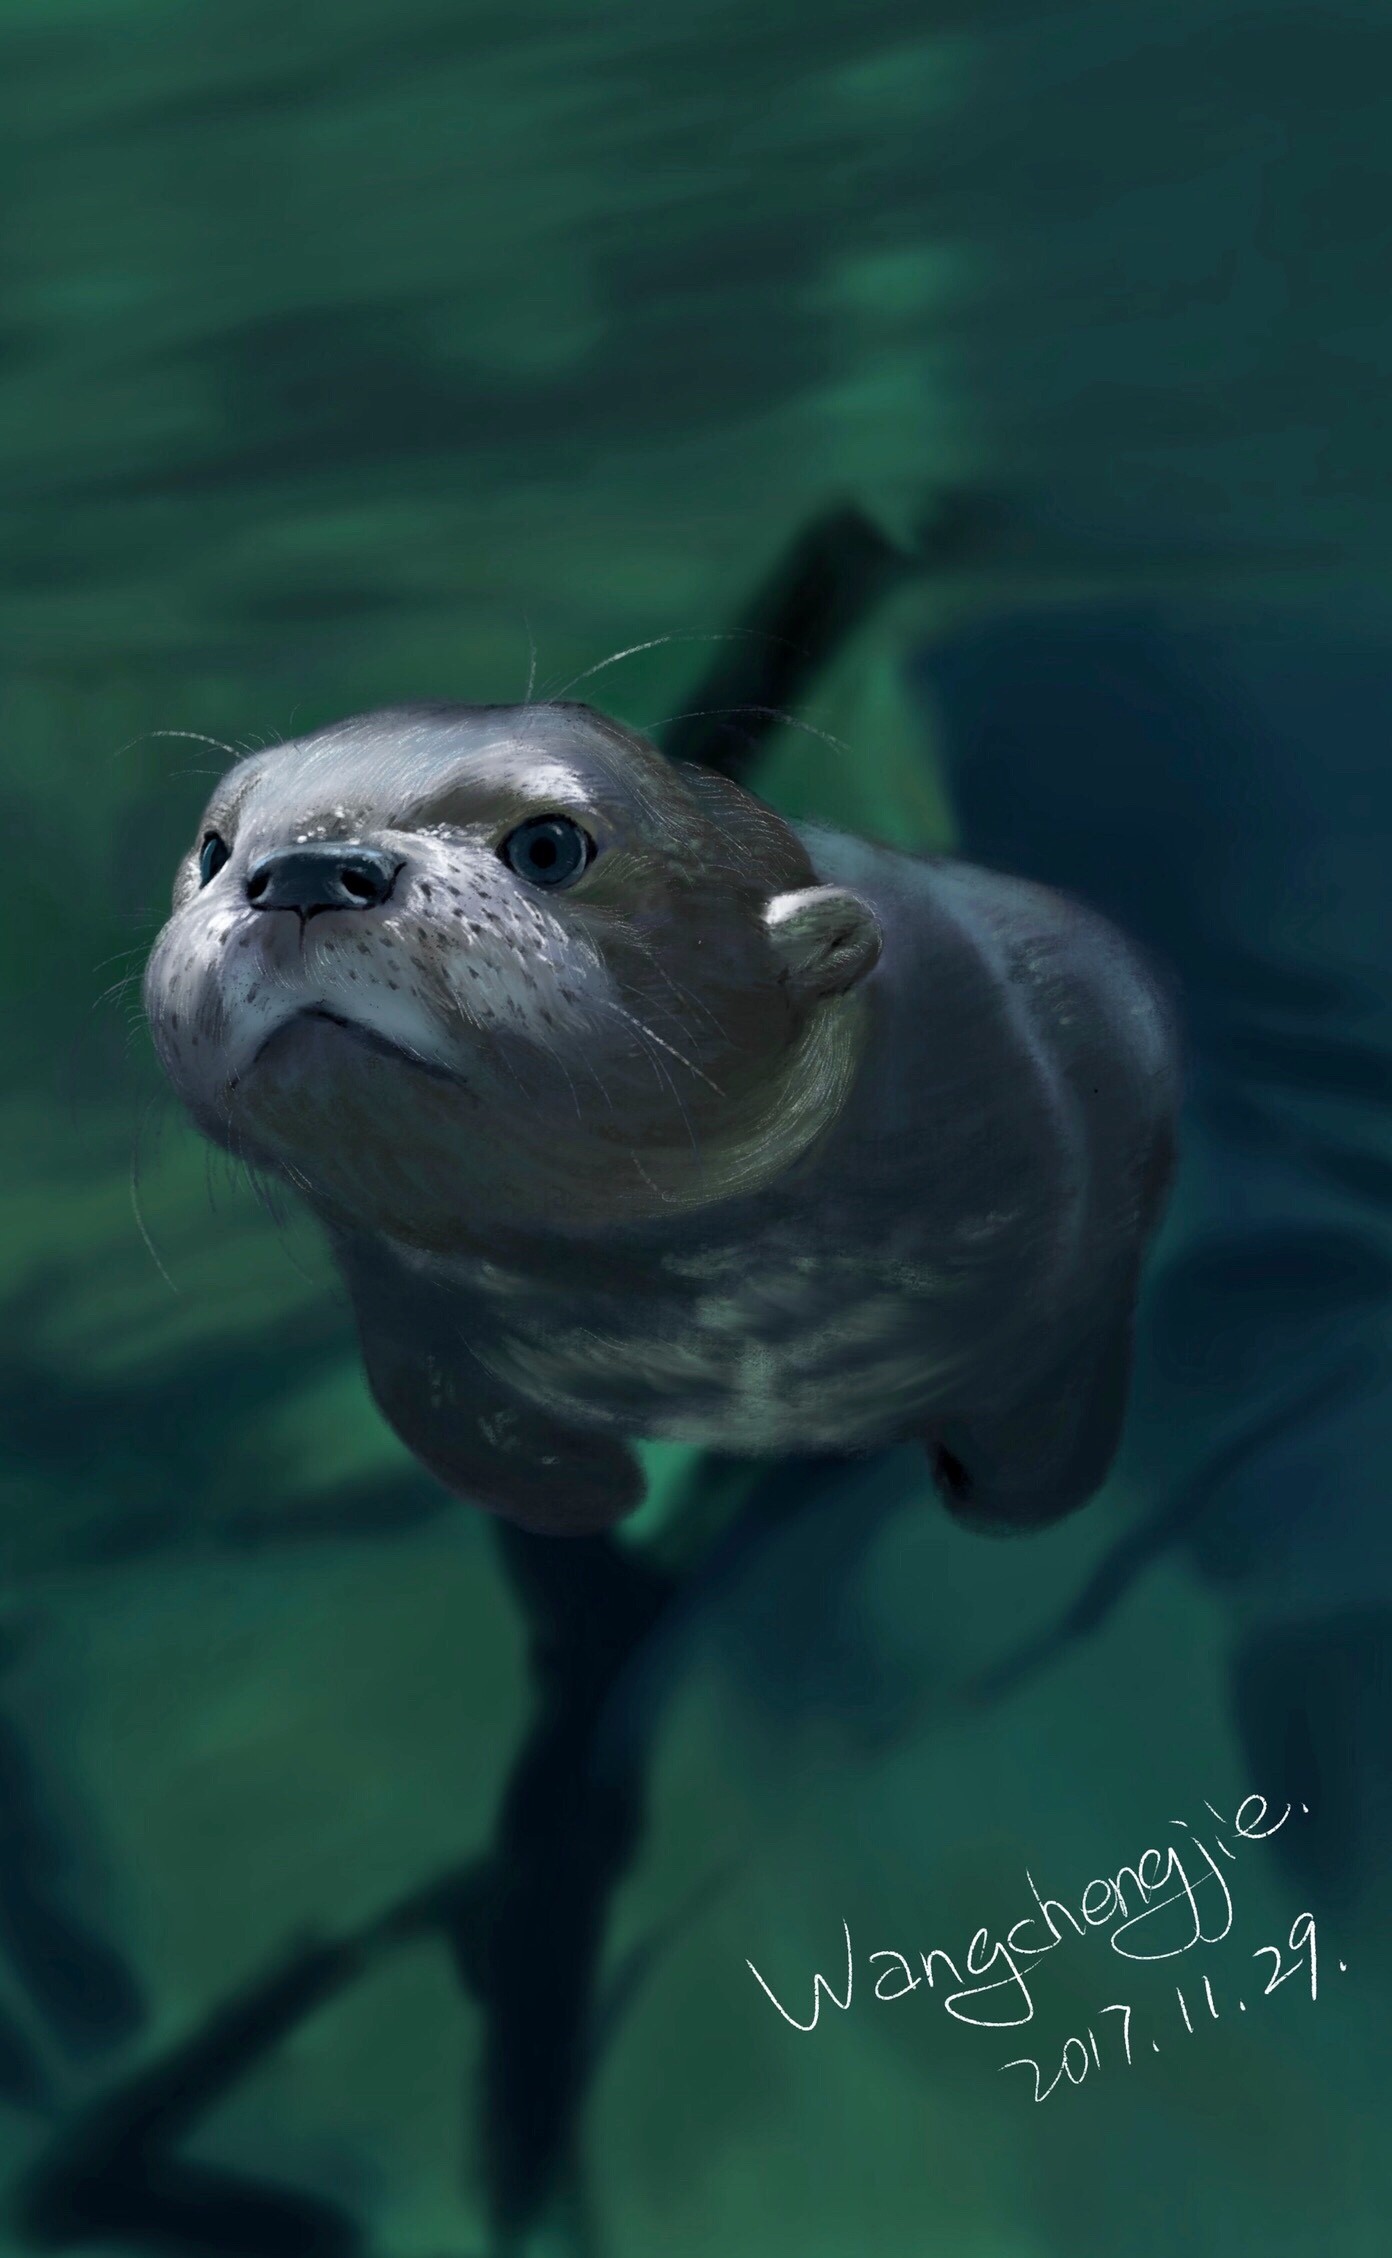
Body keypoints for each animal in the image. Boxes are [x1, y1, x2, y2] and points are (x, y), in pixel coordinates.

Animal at [143, 700, 1179, 1536]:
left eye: (549, 846)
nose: (306, 870)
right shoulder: (393, 1308)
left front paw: (1006, 1497)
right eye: (214, 849)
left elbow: (1056, 1383)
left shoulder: (1069, 1240)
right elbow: (439, 1417)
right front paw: (587, 1496)